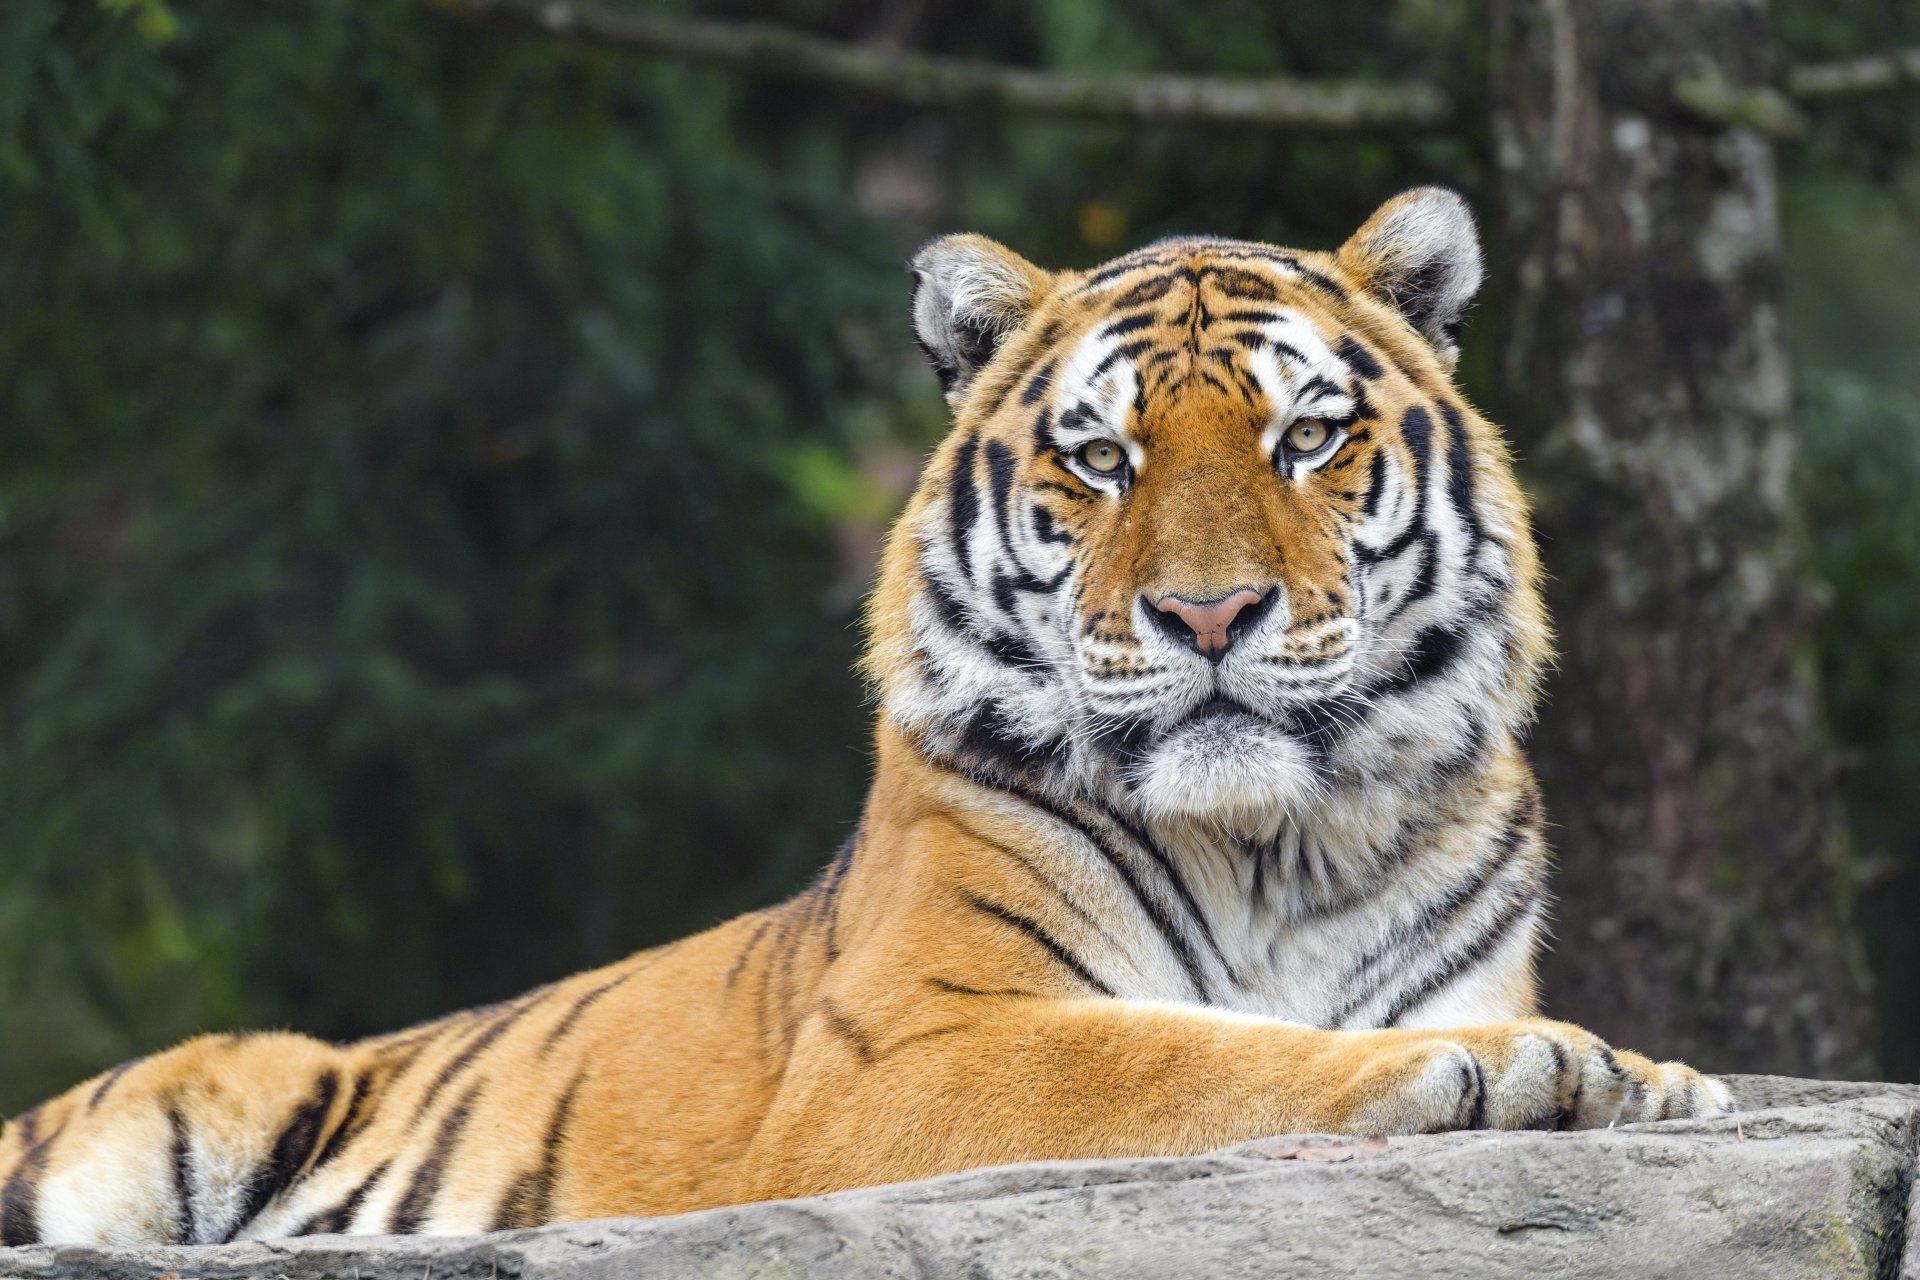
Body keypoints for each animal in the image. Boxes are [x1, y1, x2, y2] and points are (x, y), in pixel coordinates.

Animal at [0, 187, 1732, 1246]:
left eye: (1305, 438)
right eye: (1101, 458)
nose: (1208, 616)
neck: (1274, 845)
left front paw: (1649, 1082)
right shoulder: (907, 1055)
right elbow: (1185, 1055)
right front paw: (1535, 1069)